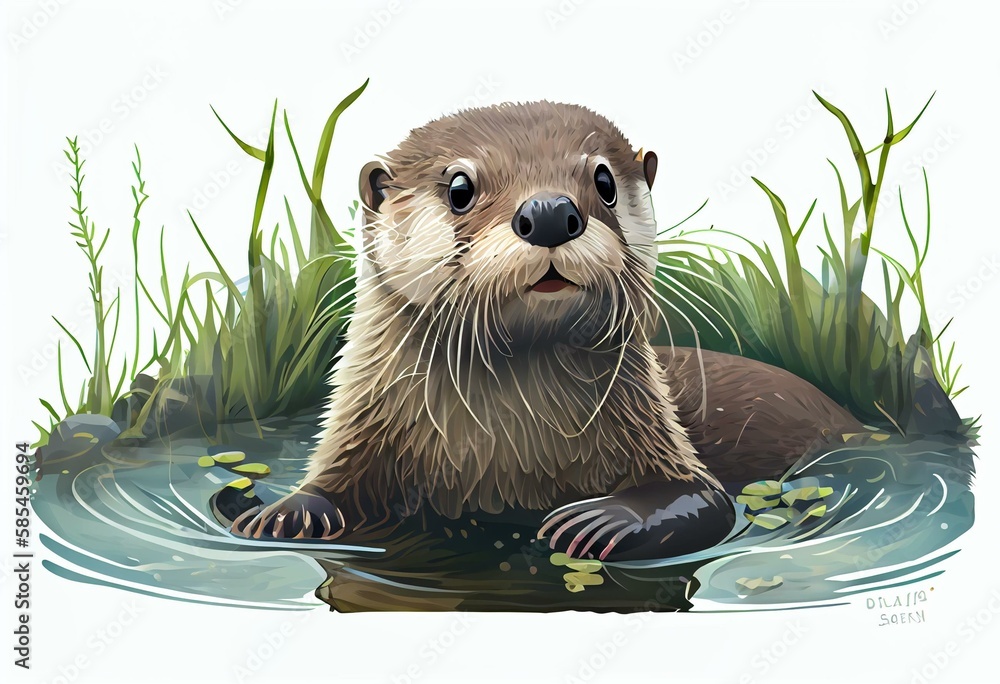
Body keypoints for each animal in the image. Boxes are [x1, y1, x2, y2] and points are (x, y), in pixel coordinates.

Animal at [232, 102, 861, 561]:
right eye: (459, 188)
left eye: (604, 180)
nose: (552, 211)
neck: (505, 447)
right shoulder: (361, 428)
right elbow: (332, 483)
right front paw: (289, 512)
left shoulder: (659, 434)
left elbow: (704, 500)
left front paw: (601, 517)